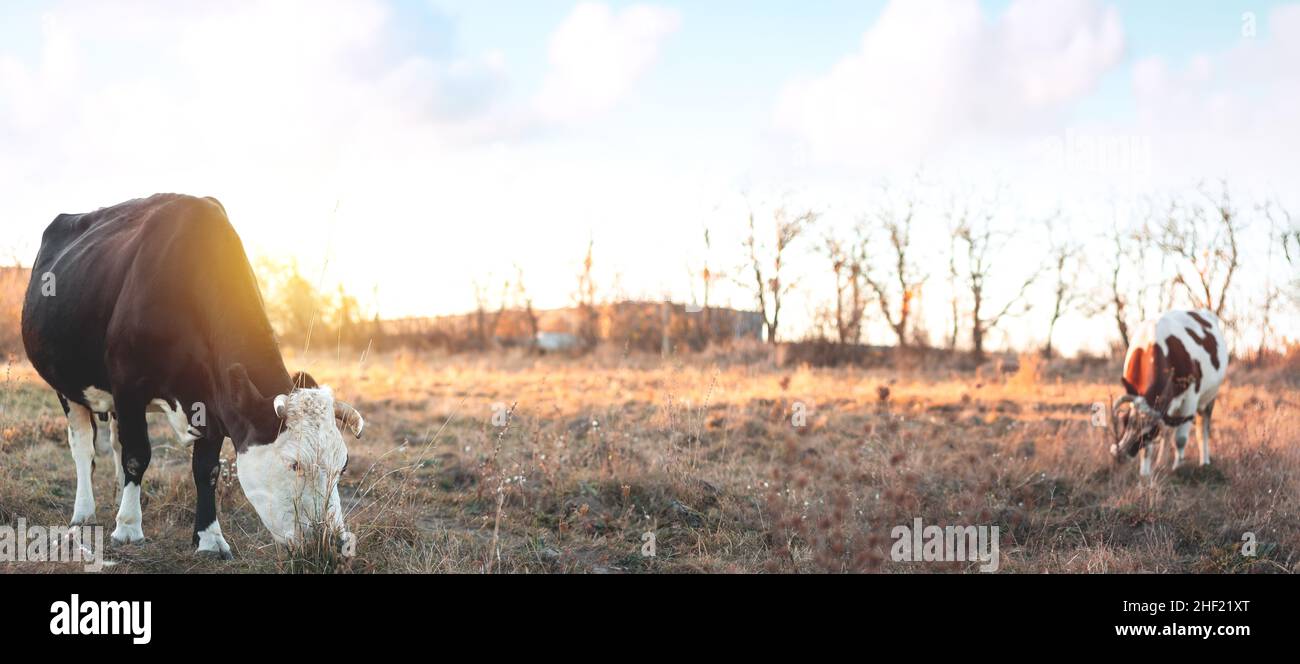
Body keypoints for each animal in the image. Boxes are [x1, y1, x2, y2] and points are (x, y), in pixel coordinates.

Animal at [21, 194, 365, 558]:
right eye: (294, 463)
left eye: (343, 466)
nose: (333, 541)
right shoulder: (129, 385)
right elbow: (137, 455)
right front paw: (128, 527)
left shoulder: (213, 399)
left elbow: (206, 469)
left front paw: (209, 537)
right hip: (67, 388)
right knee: (83, 447)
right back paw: (84, 512)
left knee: (114, 442)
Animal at [1109, 309, 1227, 477]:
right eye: (1124, 421)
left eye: (1149, 433)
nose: (1120, 454)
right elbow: (1151, 446)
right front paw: (1145, 473)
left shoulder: (1190, 399)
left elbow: (1180, 439)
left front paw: (1177, 468)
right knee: (1168, 431)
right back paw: (1161, 464)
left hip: (1209, 397)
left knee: (1203, 427)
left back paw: (1204, 462)